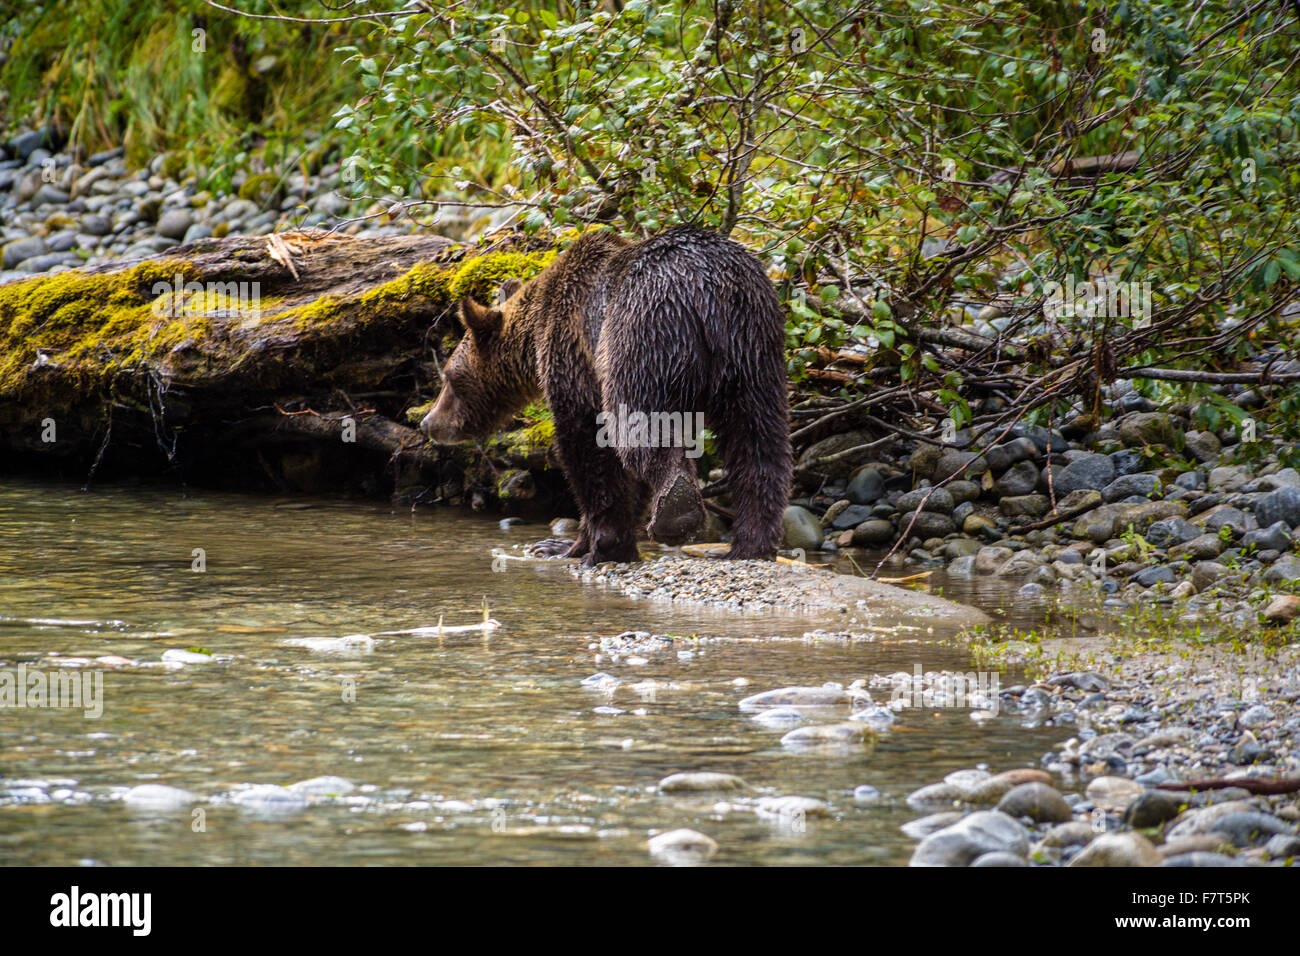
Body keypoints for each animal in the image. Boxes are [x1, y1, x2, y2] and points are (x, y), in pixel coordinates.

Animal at [420, 225, 792, 564]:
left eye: (448, 377)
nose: (428, 422)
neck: (536, 332)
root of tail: (706, 287)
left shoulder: (572, 353)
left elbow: (588, 447)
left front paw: (588, 545)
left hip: (641, 333)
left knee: (639, 428)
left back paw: (678, 511)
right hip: (753, 347)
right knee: (758, 440)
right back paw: (751, 544)